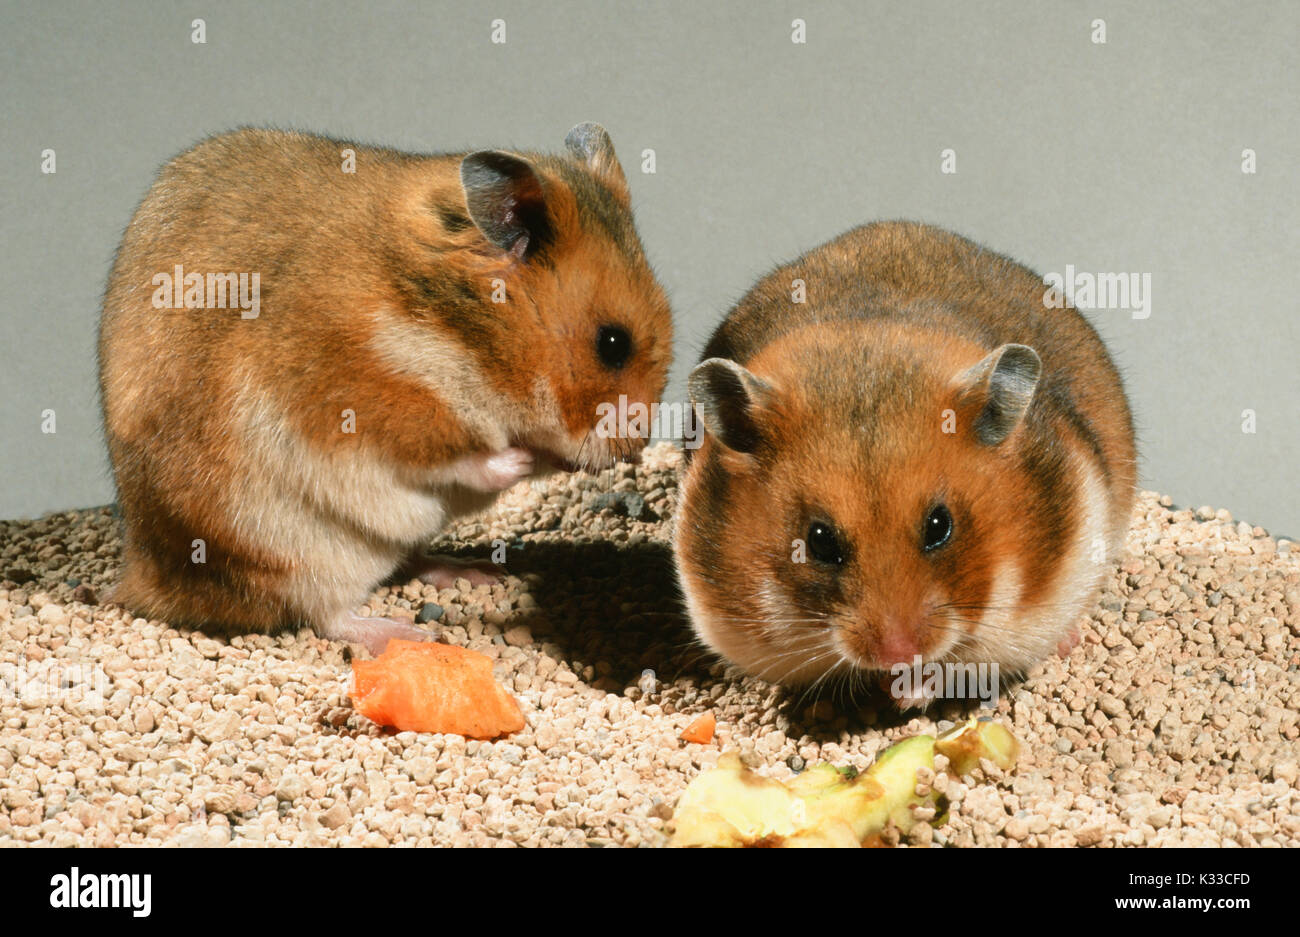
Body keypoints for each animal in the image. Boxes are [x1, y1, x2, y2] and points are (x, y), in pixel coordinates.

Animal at [99, 123, 672, 655]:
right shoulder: (363, 404)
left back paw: (480, 572)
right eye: (613, 343)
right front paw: (520, 459)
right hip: (288, 552)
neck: (461, 337)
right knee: (327, 616)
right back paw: (412, 635)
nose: (637, 449)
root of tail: (140, 581)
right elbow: (457, 455)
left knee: (409, 559)